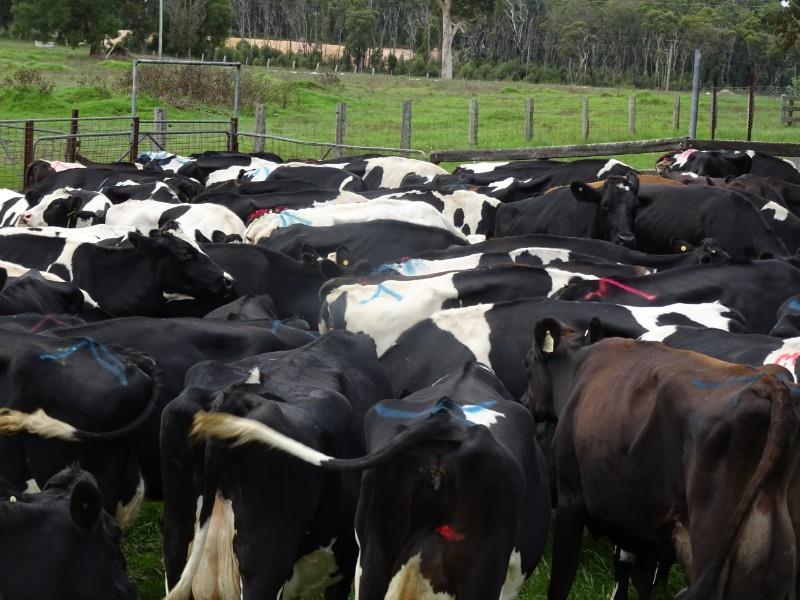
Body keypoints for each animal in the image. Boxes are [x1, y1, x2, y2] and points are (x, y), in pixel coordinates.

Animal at [525, 321, 799, 600]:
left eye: (528, 364)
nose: (524, 402)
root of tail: (768, 385)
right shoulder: (644, 524)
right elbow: (643, 581)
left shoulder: (571, 499)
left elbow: (561, 581)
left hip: (709, 542)